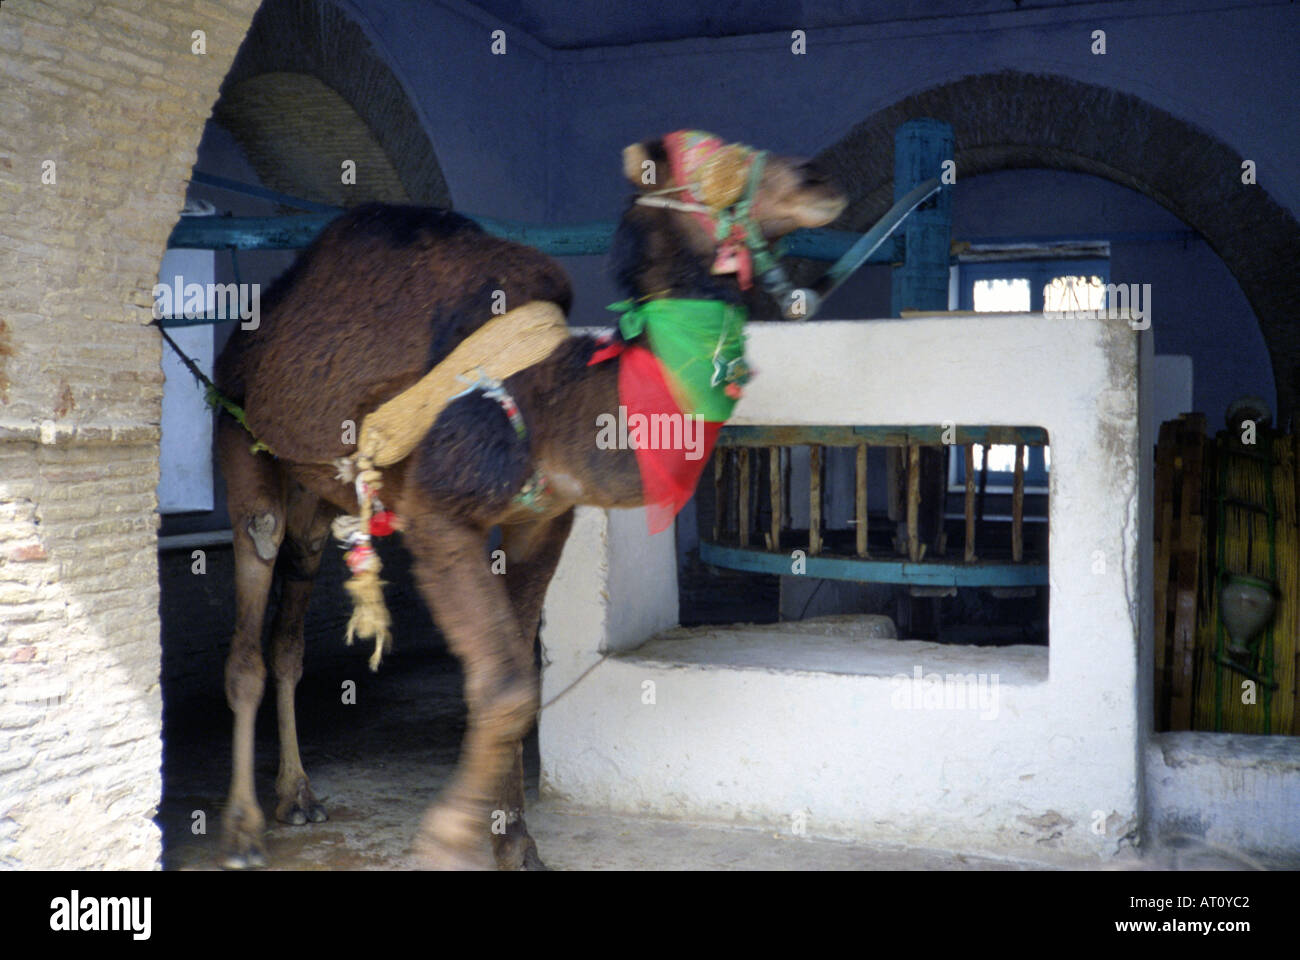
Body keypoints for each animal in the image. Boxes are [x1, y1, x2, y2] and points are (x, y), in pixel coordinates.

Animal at [212, 131, 846, 869]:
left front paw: (515, 841)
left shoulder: (542, 523)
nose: (817, 180)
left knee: (289, 633)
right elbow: (506, 684)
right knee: (251, 616)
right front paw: (446, 844)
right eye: (712, 161)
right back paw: (243, 830)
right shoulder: (441, 515)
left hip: (315, 491)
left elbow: (518, 676)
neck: (558, 400)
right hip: (240, 433)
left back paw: (298, 795)